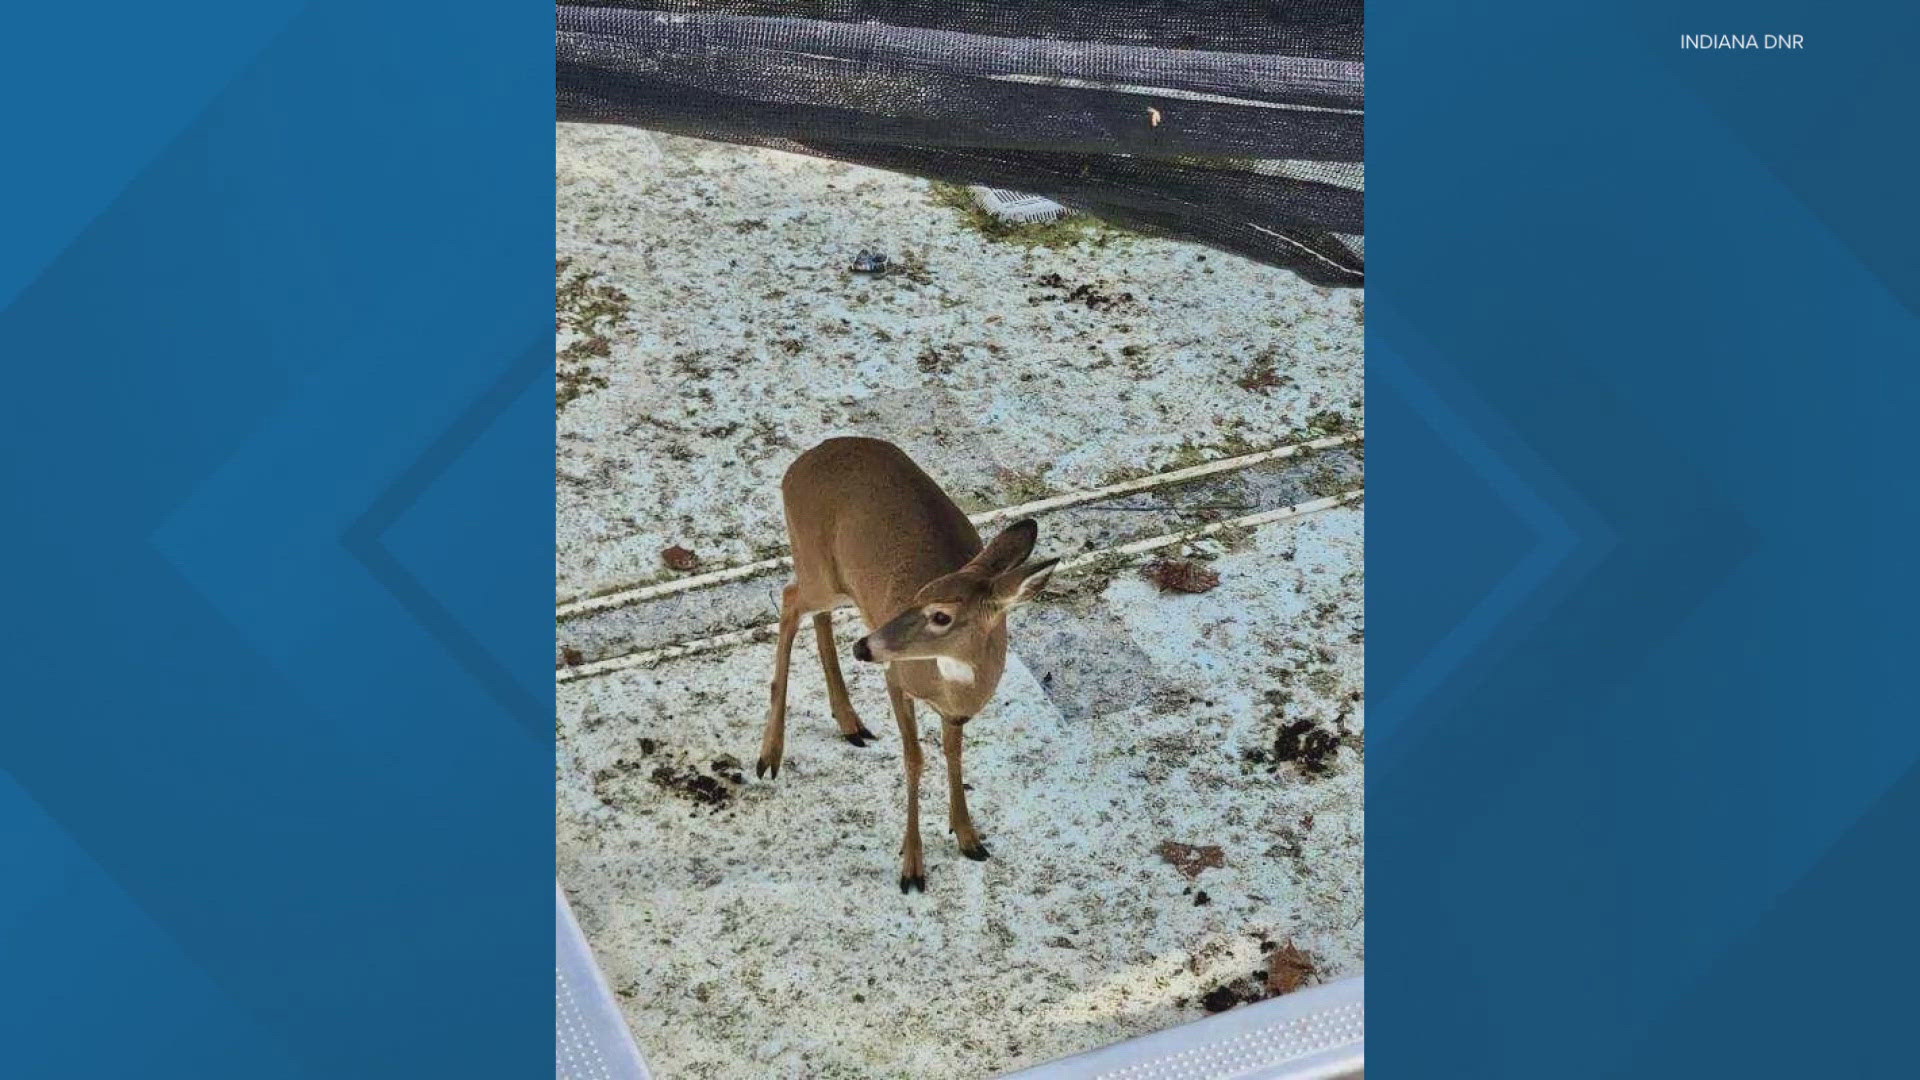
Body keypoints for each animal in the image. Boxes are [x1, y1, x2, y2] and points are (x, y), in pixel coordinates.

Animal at [757, 437, 1057, 893]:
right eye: (916, 594)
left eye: (941, 615)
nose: (864, 647)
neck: (953, 684)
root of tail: (797, 466)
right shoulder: (897, 677)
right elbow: (915, 758)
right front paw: (913, 866)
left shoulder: (956, 712)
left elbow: (953, 753)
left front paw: (968, 836)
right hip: (816, 565)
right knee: (791, 600)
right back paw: (770, 754)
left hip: (833, 578)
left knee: (815, 613)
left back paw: (849, 722)